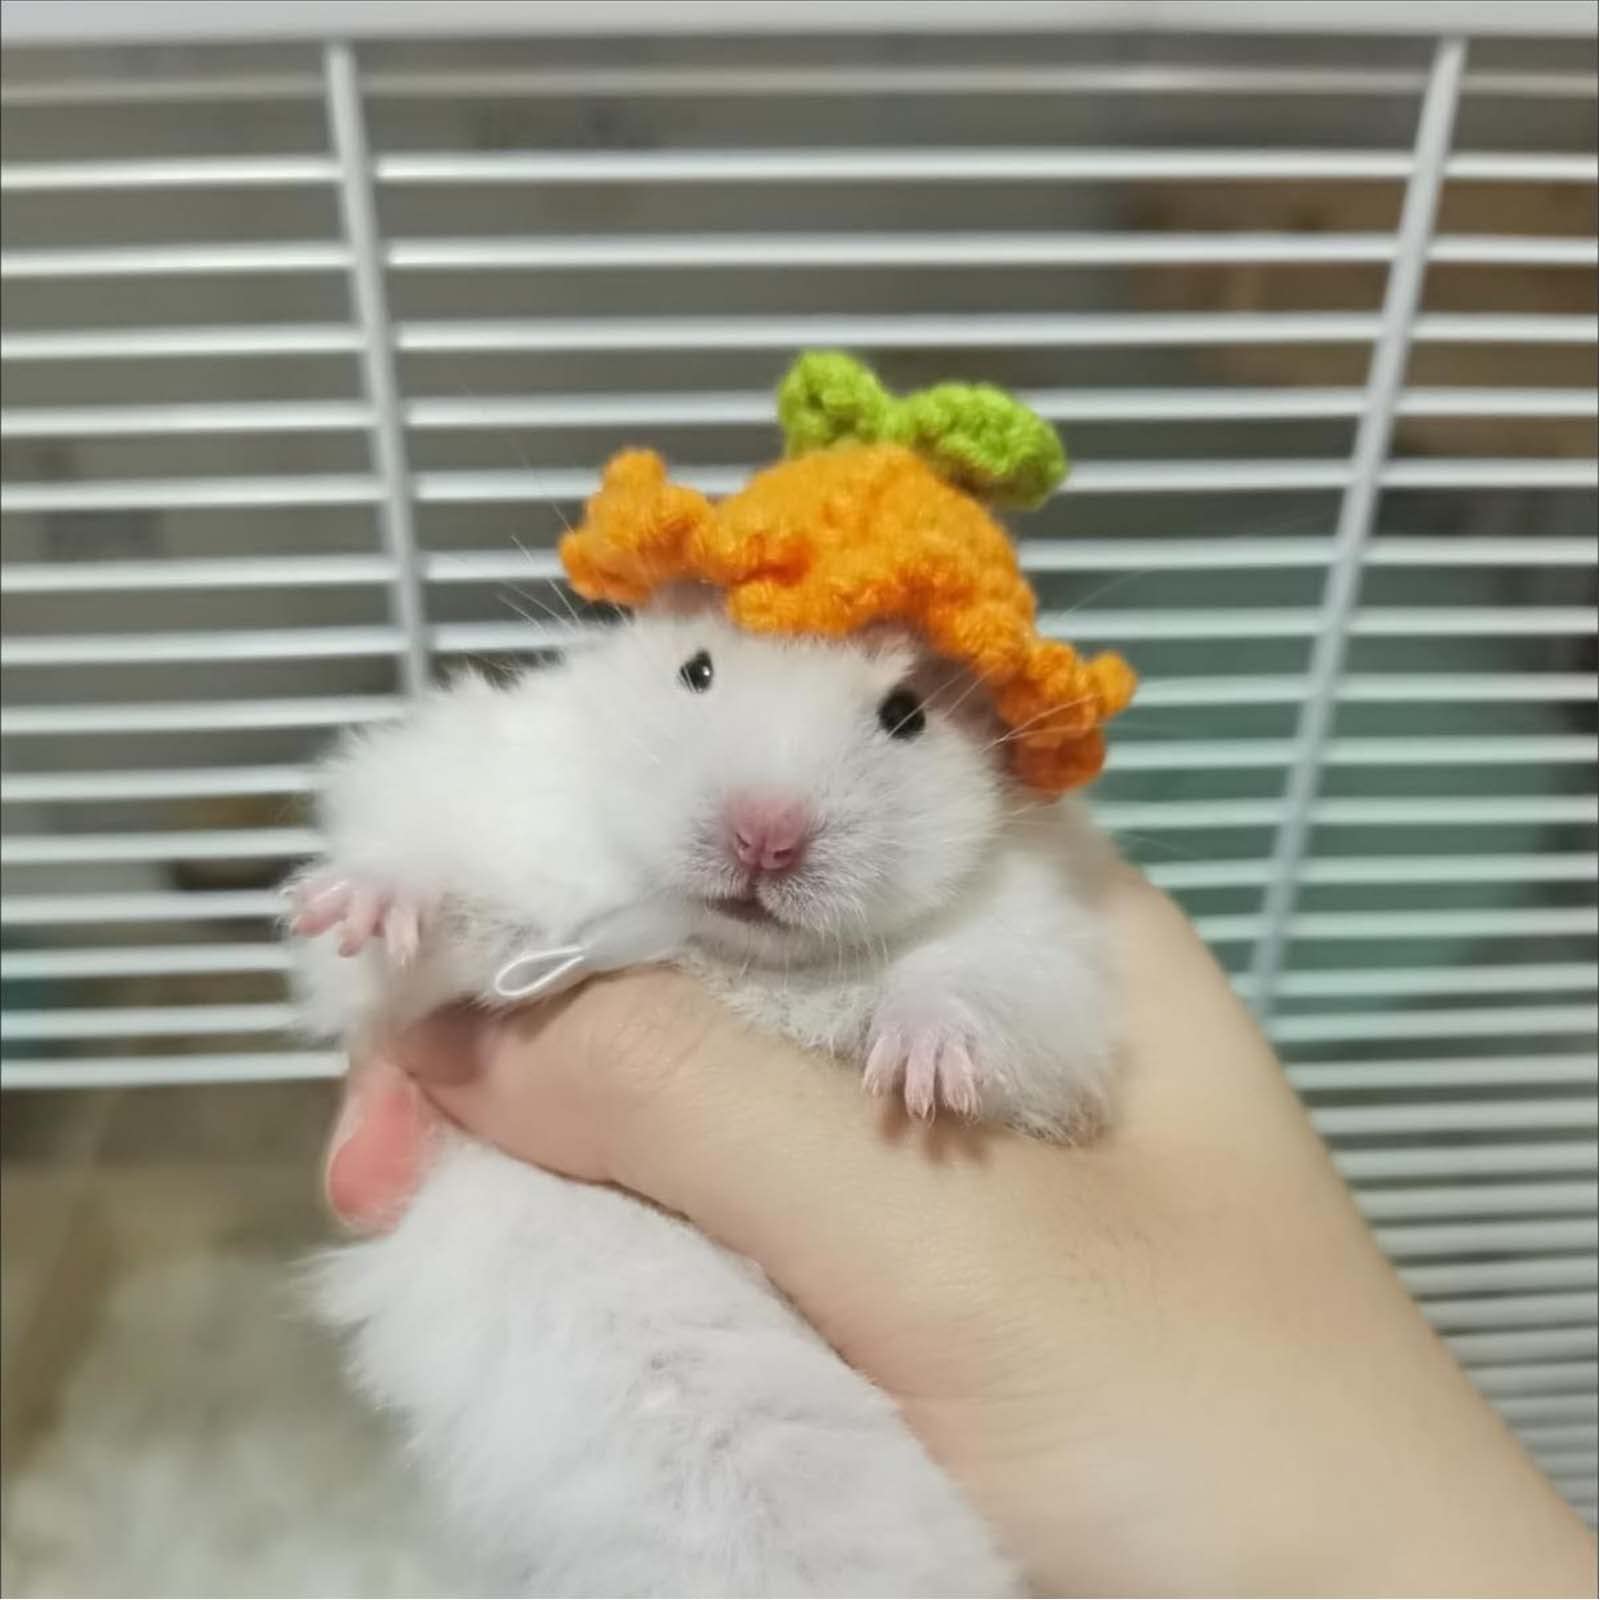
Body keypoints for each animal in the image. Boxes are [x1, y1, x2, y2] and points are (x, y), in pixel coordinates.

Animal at [293, 602, 1119, 1597]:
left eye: (906, 716)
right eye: (696, 672)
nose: (766, 836)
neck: (730, 950)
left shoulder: (1043, 954)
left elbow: (967, 984)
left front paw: (920, 1078)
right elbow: (415, 915)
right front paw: (362, 909)